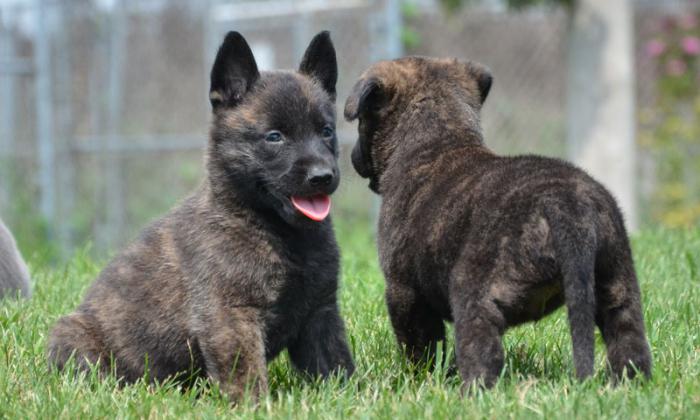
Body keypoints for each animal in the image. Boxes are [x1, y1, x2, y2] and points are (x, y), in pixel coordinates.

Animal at [47, 32, 356, 400]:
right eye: (274, 137)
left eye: (326, 131)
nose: (323, 176)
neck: (274, 229)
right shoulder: (230, 316)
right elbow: (245, 375)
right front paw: (257, 406)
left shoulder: (320, 313)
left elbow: (336, 365)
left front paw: (351, 397)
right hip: (74, 337)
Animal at [344, 57, 652, 388]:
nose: (351, 156)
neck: (437, 140)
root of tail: (568, 207)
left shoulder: (403, 291)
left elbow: (422, 346)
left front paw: (418, 380)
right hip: (618, 285)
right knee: (628, 341)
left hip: (476, 293)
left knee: (481, 349)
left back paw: (473, 391)